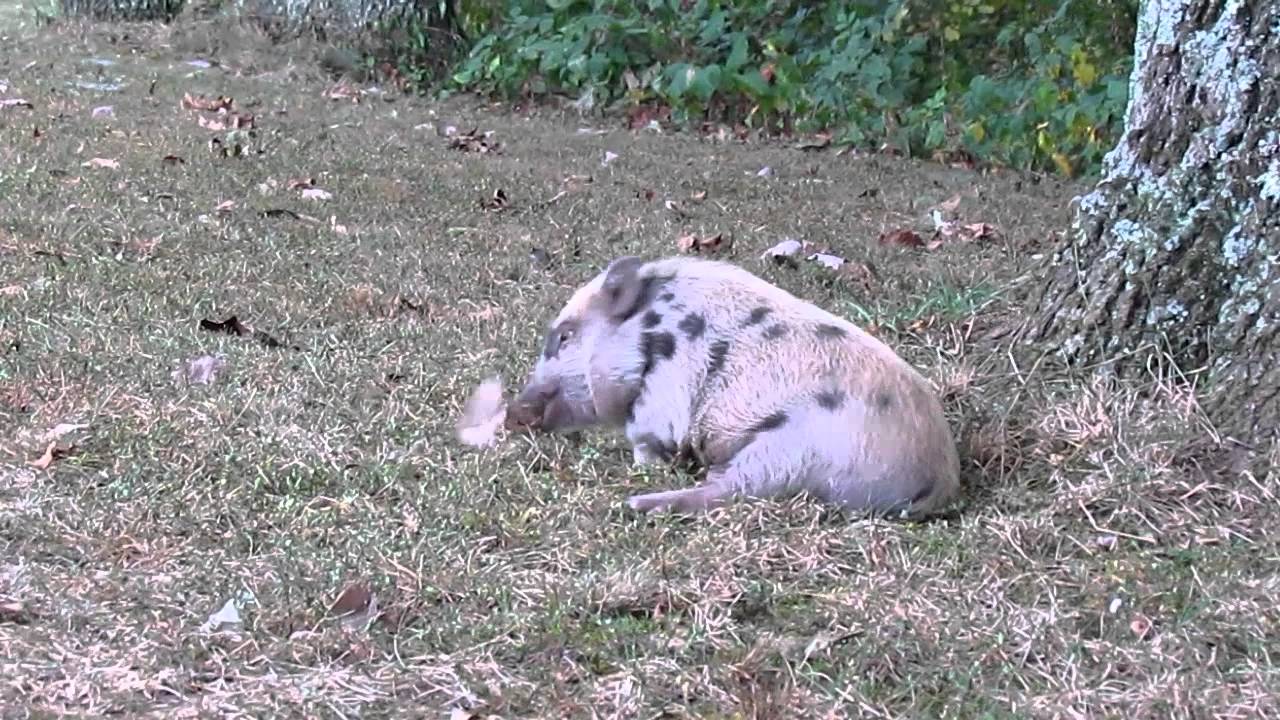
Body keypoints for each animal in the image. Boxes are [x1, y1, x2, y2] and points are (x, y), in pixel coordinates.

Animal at [505, 254, 961, 517]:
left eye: (564, 337)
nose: (512, 413)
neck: (650, 334)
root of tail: (940, 476)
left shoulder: (663, 397)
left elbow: (647, 439)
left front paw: (641, 467)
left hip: (793, 450)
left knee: (731, 489)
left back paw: (637, 504)